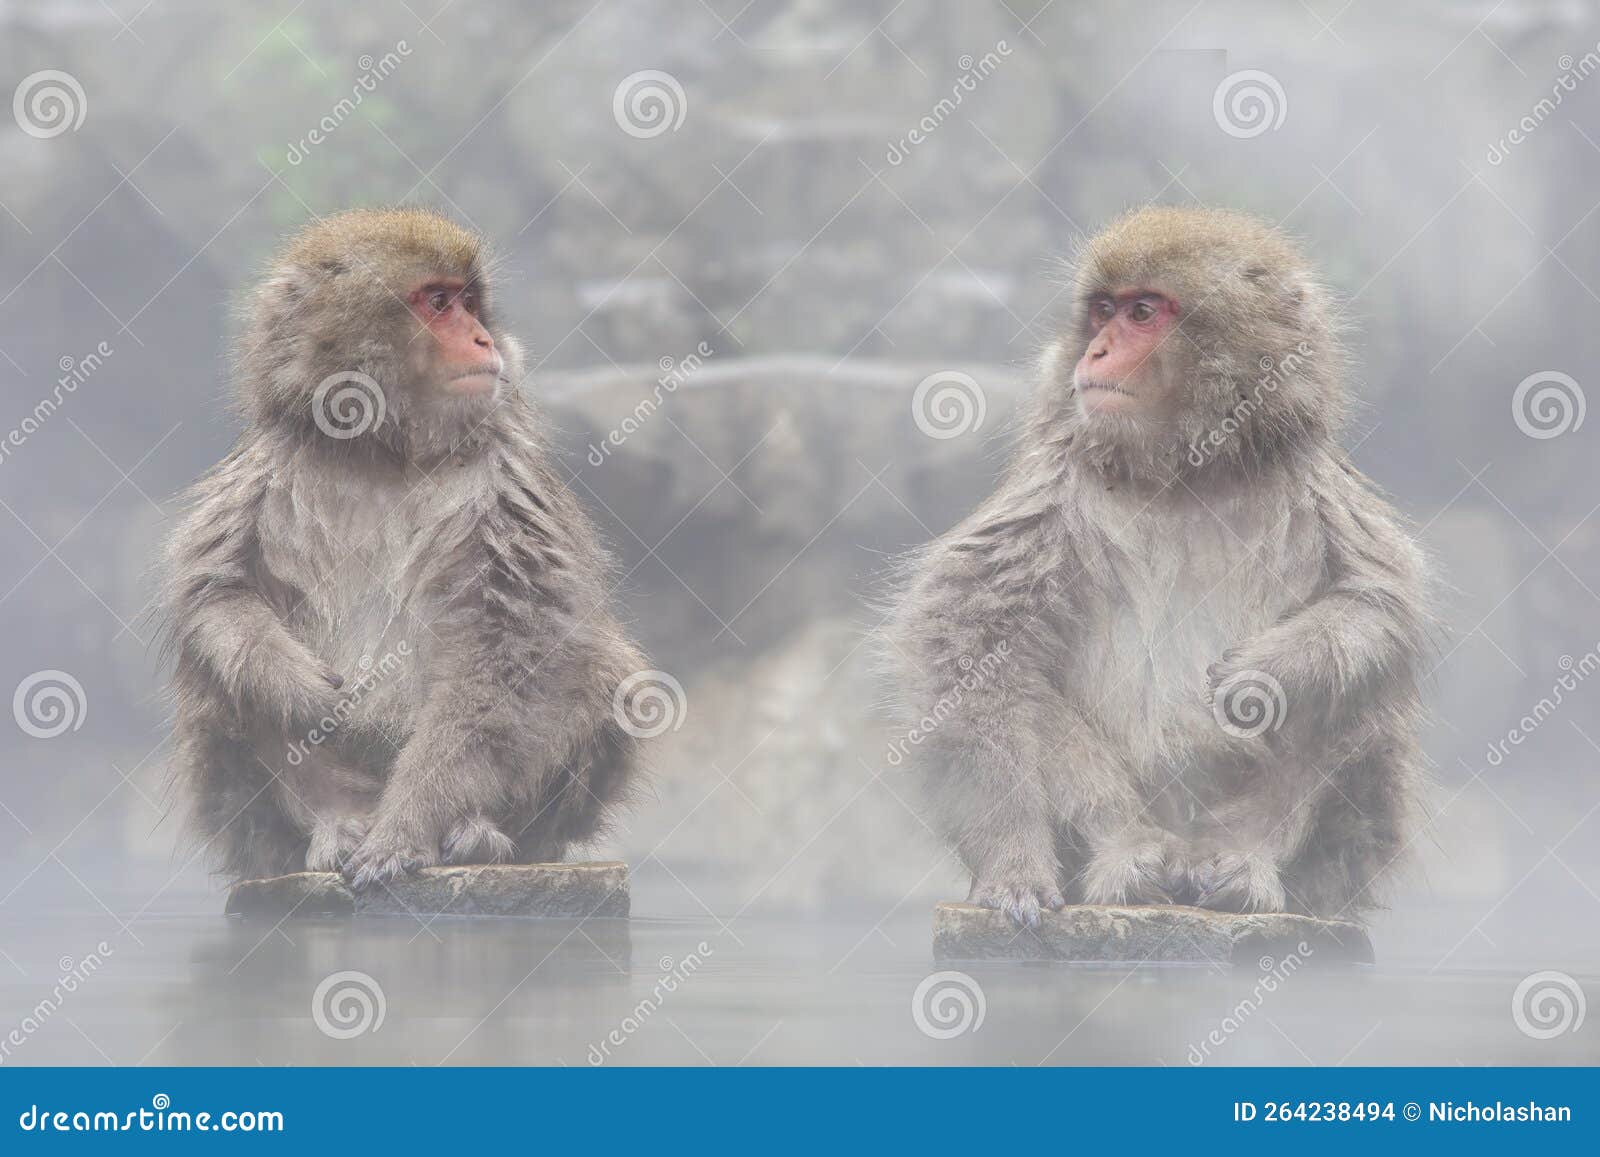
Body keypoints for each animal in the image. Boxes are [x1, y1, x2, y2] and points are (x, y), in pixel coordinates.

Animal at [160, 207, 647, 890]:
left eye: (471, 303)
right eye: (438, 303)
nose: (484, 340)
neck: (383, 453)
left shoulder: (506, 482)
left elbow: (508, 650)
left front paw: (408, 828)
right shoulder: (265, 470)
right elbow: (217, 592)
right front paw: (295, 684)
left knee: (599, 672)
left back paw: (477, 833)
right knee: (216, 678)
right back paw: (333, 824)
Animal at [884, 206, 1431, 927]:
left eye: (1143, 312)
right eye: (1103, 311)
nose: (1095, 352)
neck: (1185, 469)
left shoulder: (1314, 480)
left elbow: (1379, 599)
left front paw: (1265, 671)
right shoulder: (1059, 479)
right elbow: (966, 635)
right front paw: (1013, 865)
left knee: (1362, 690)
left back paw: (1242, 862)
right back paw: (1128, 852)